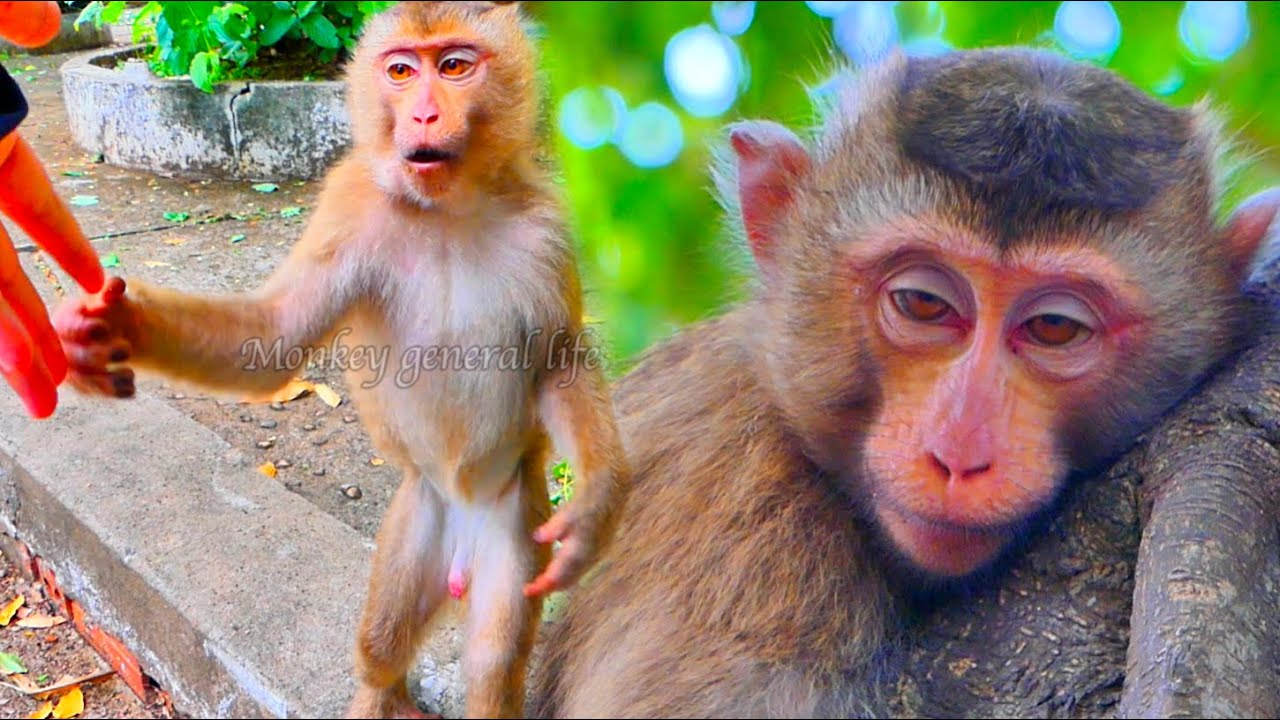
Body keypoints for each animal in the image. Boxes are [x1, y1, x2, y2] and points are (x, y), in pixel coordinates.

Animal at [51, 3, 628, 718]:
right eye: (401, 71)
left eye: (454, 66)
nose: (425, 115)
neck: (446, 210)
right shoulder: (347, 206)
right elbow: (274, 337)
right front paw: (115, 327)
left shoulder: (546, 226)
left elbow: (558, 357)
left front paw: (598, 506)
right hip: (417, 521)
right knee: (381, 645)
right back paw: (384, 691)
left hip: (512, 520)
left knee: (493, 663)